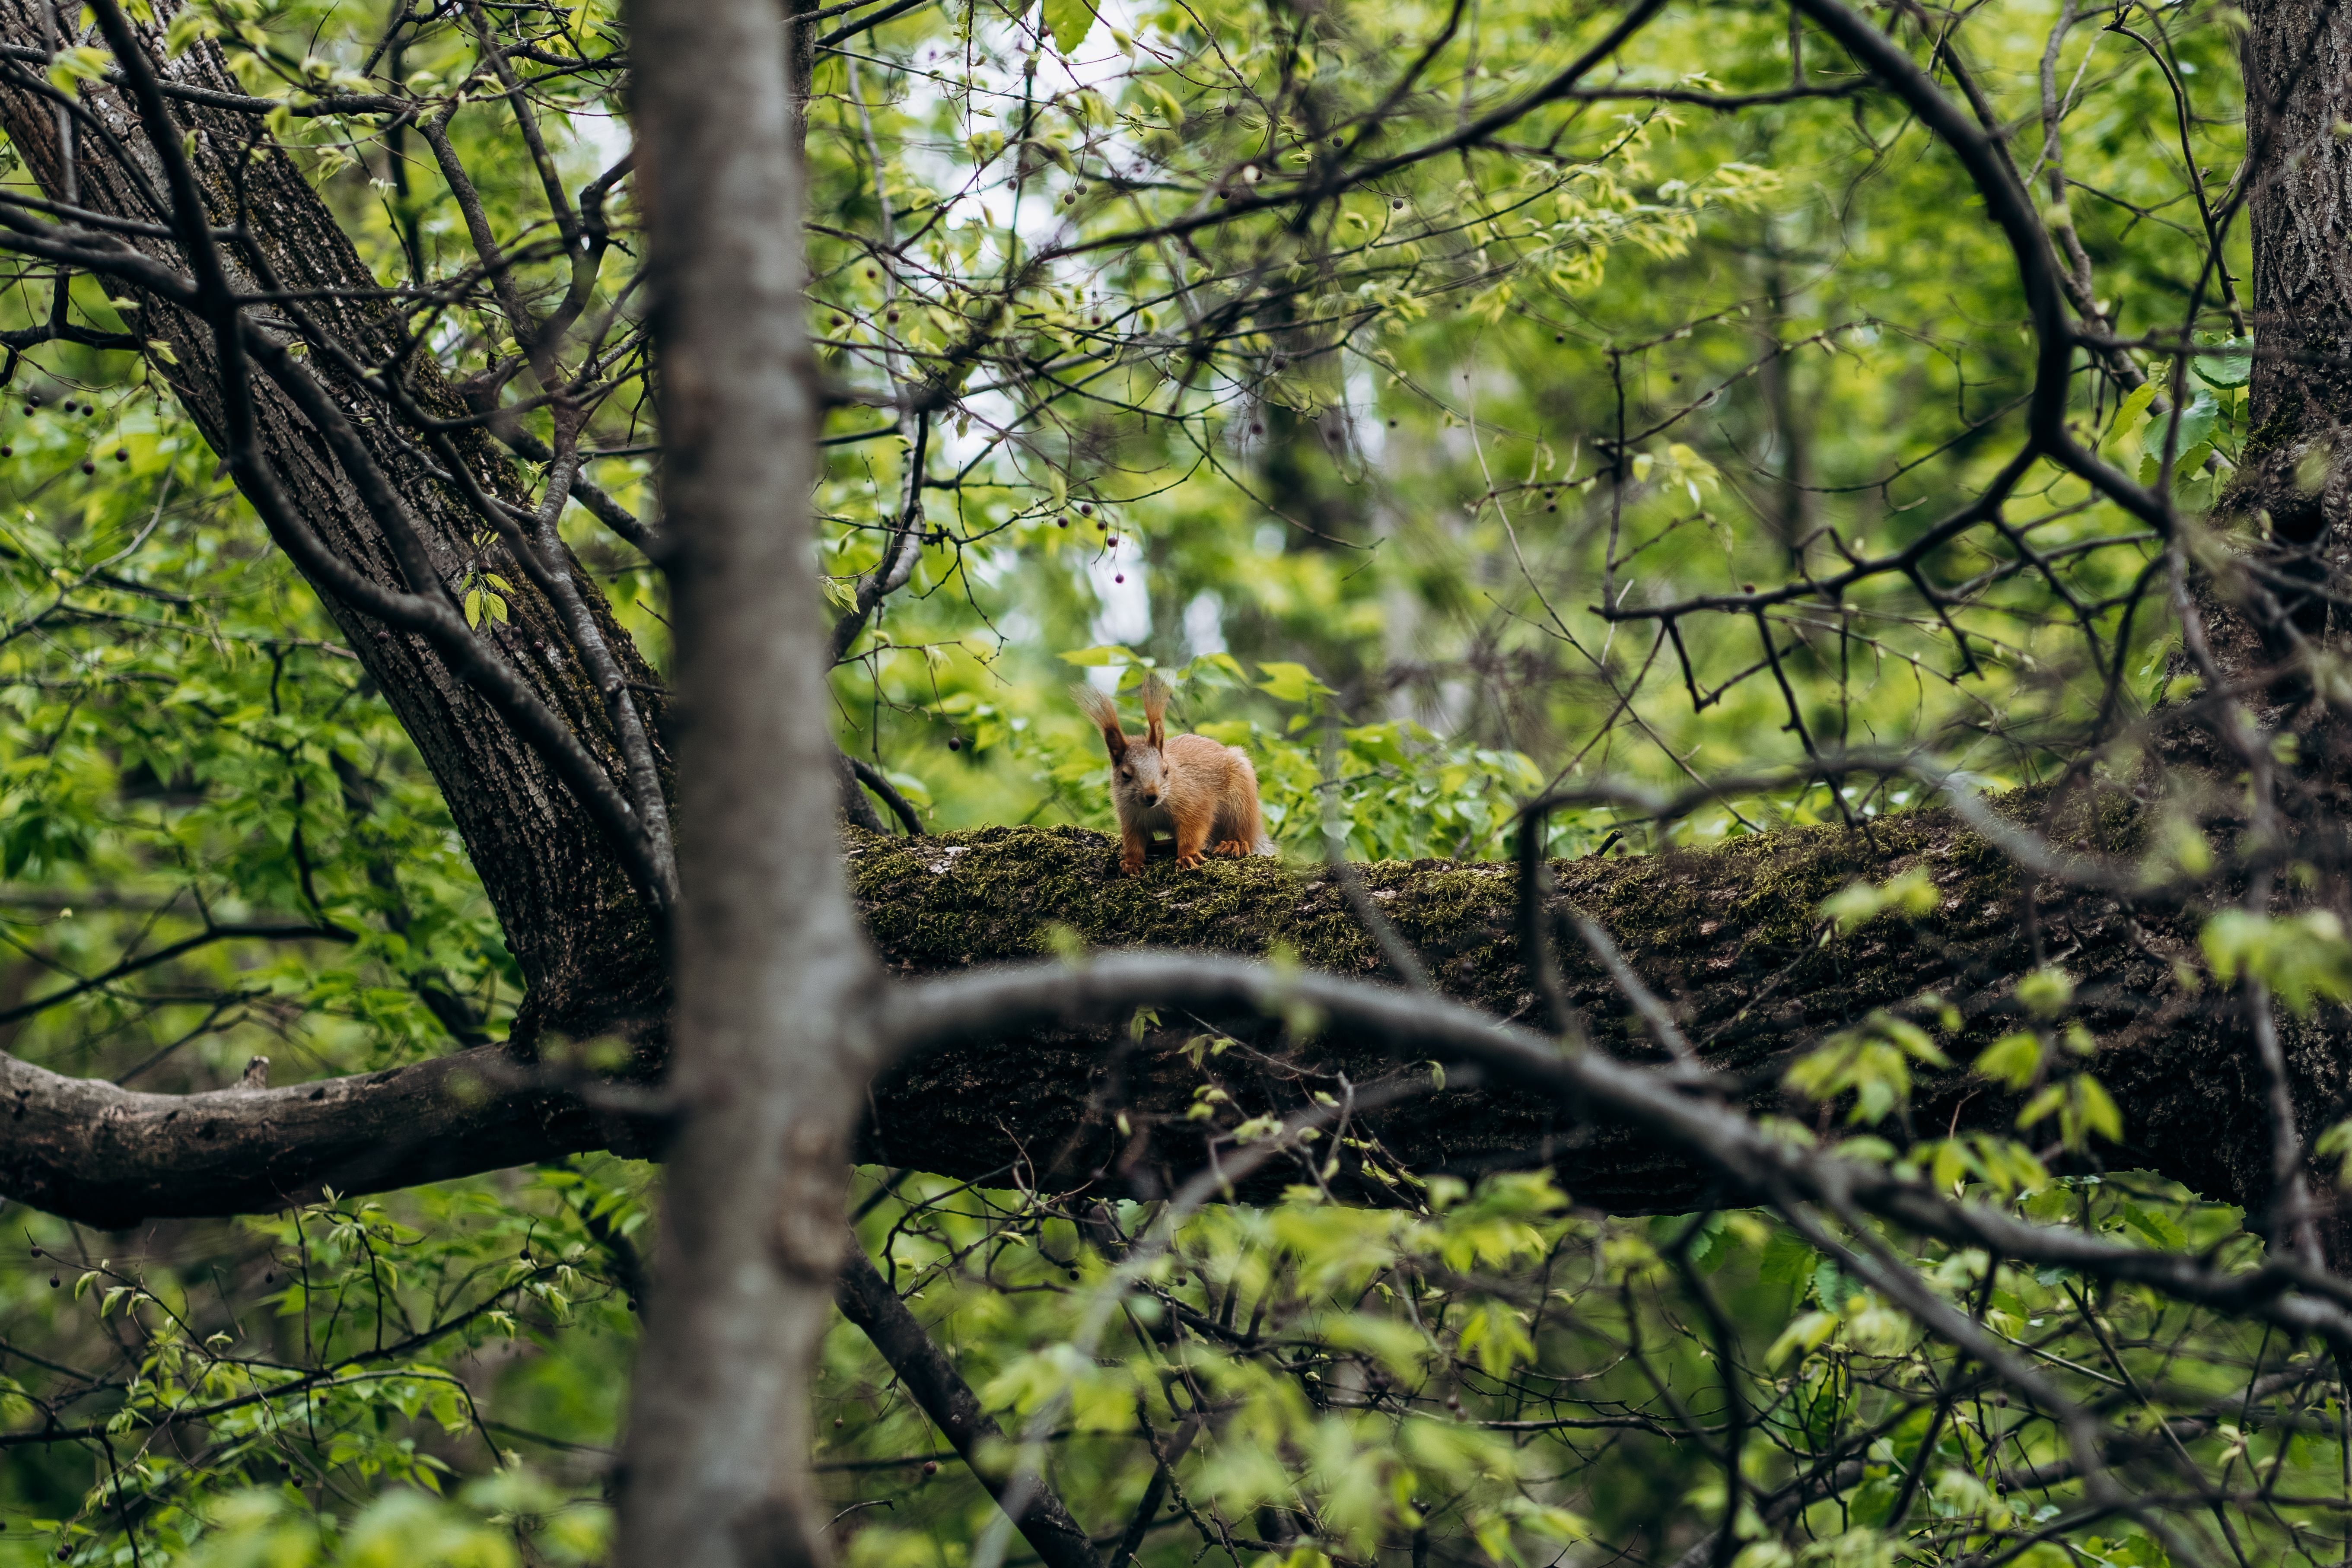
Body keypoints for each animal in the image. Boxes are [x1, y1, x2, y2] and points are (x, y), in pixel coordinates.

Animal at [1075, 673, 1273, 876]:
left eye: (1166, 770)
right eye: (1125, 775)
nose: (1152, 795)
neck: (1154, 809)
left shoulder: (1196, 804)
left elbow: (1193, 831)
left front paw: (1188, 855)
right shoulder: (1130, 819)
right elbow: (1134, 842)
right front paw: (1132, 862)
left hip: (1241, 801)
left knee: (1241, 832)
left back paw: (1234, 844)